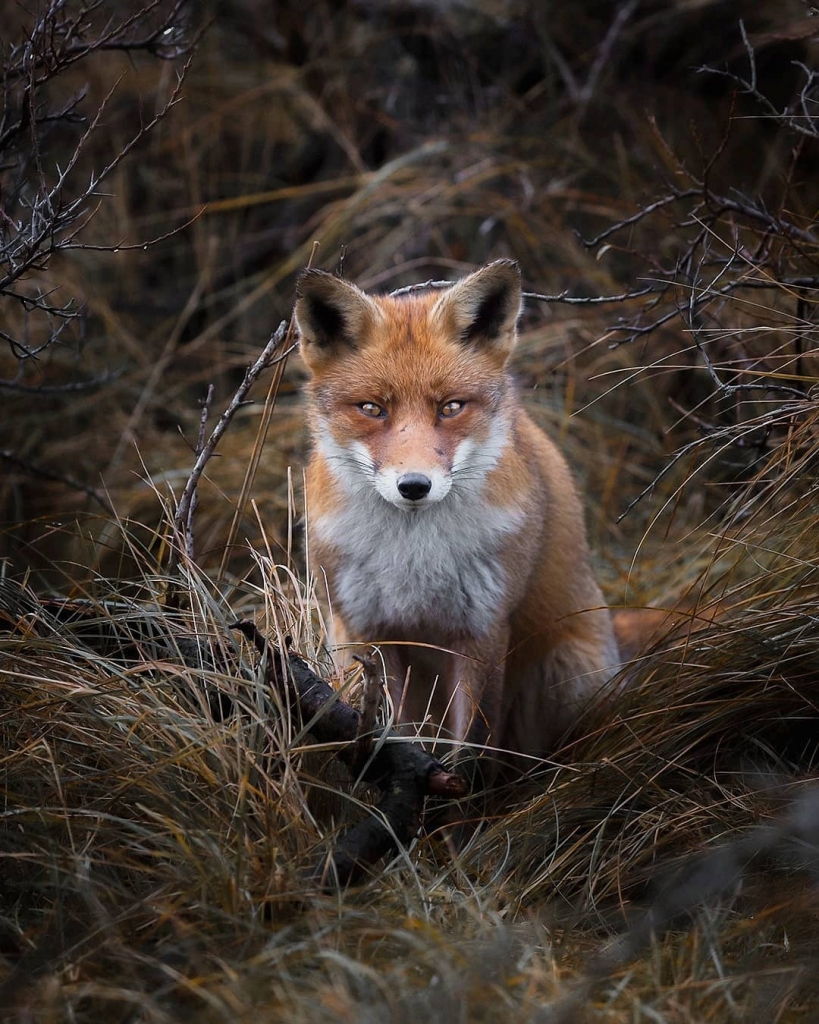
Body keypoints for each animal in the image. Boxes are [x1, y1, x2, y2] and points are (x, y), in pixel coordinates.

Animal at [294, 259, 621, 772]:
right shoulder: (371, 631)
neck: (412, 560)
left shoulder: (482, 629)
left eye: (450, 407)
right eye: (372, 408)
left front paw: (459, 794)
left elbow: (474, 748)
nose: (414, 486)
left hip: (564, 673)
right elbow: (394, 726)